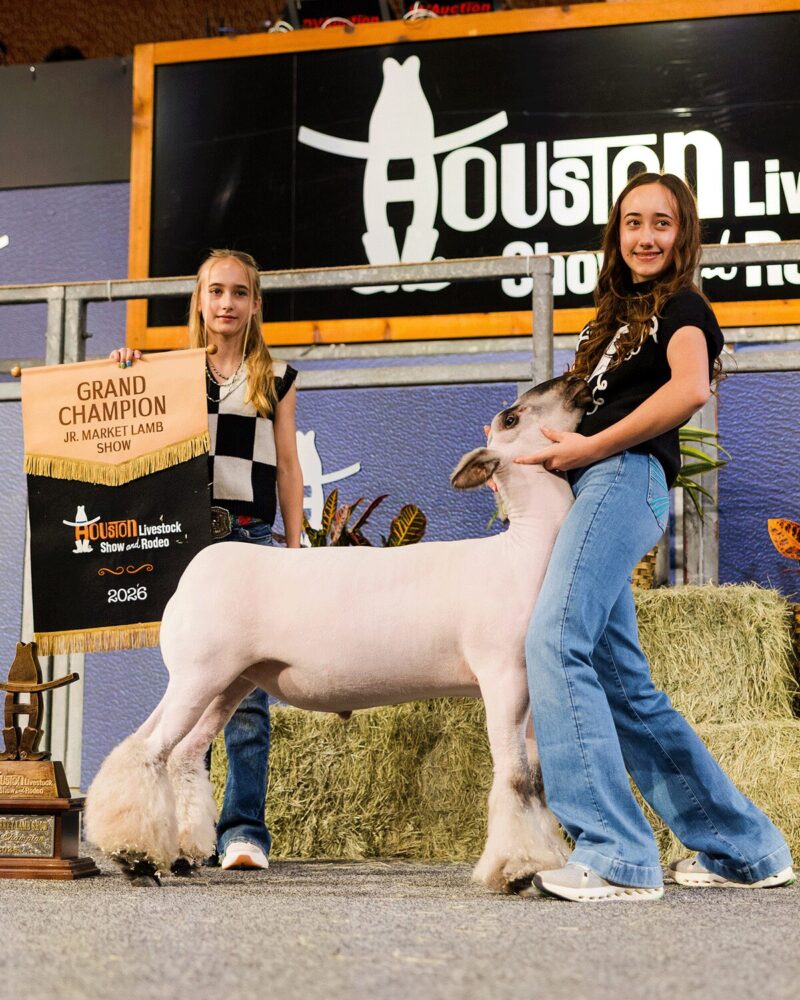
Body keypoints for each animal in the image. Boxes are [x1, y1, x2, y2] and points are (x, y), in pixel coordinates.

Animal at [85, 375, 591, 891]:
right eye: (511, 417)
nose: (575, 380)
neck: (523, 550)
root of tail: (199, 567)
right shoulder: (502, 673)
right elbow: (516, 776)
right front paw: (517, 869)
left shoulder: (530, 680)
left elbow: (538, 779)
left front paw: (544, 861)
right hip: (198, 672)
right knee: (149, 748)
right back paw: (134, 857)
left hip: (231, 681)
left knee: (182, 754)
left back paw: (181, 851)